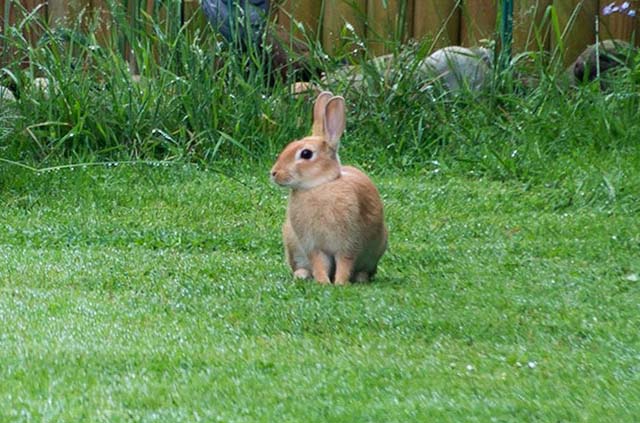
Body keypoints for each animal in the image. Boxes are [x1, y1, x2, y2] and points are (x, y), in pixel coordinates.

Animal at [270, 91, 388, 285]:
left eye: (306, 154)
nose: (274, 173)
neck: (320, 185)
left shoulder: (348, 244)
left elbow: (345, 263)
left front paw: (339, 283)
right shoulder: (313, 246)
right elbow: (319, 263)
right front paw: (323, 282)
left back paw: (361, 278)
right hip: (292, 244)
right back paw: (302, 275)